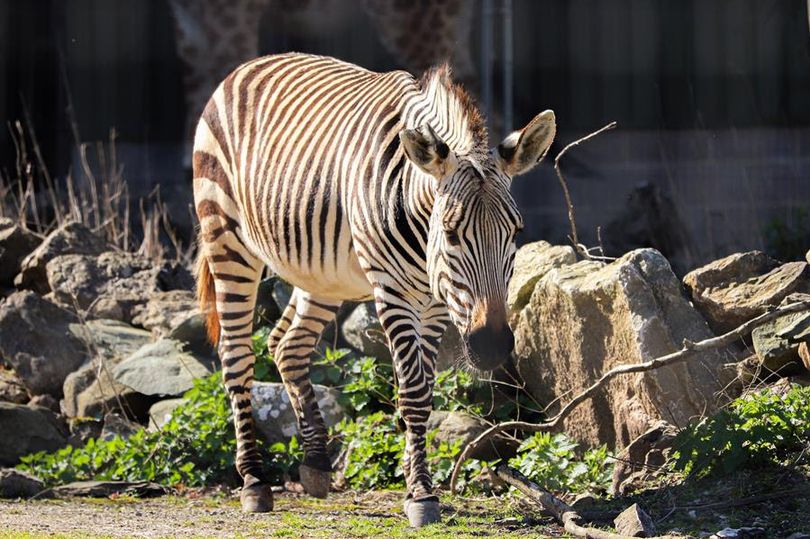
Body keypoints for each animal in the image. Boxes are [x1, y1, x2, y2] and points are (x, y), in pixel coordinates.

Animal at [193, 52, 555, 527]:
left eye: (516, 232)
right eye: (451, 233)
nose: (493, 346)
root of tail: (250, 65)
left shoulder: (435, 305)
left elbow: (422, 392)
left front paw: (415, 477)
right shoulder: (392, 293)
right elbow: (414, 392)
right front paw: (421, 494)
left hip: (320, 273)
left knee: (287, 345)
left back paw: (315, 465)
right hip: (226, 238)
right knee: (237, 356)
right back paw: (254, 481)